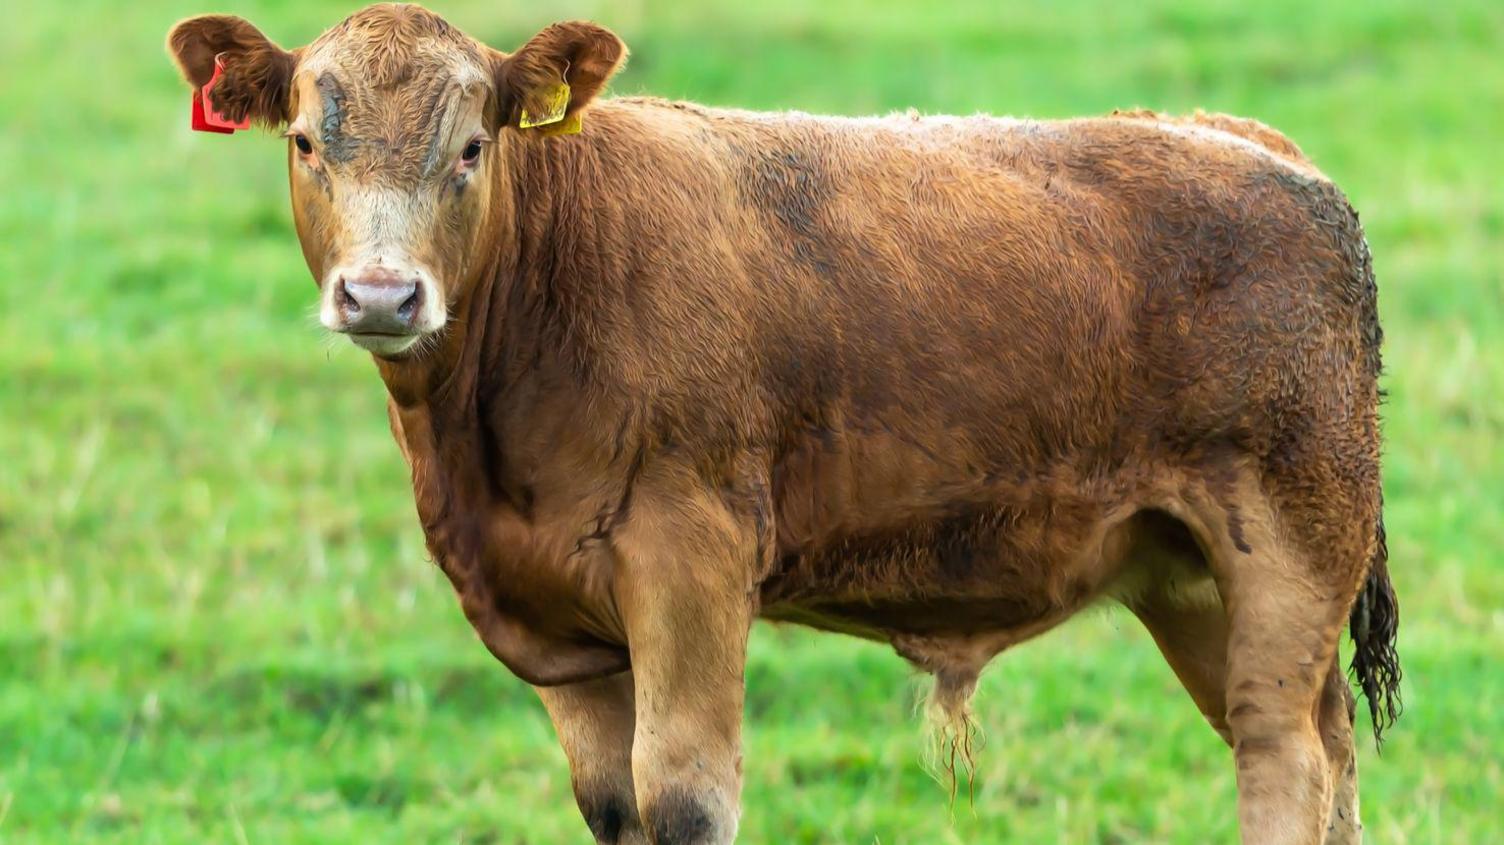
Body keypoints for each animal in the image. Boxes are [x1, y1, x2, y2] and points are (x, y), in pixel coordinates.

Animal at [167, 5, 1401, 843]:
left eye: (473, 147)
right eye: (306, 143)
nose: (381, 296)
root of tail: (1250, 143)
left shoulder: (692, 562)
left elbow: (685, 798)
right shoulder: (561, 626)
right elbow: (614, 804)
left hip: (1291, 539)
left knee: (1283, 753)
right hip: (1190, 574)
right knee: (1320, 746)